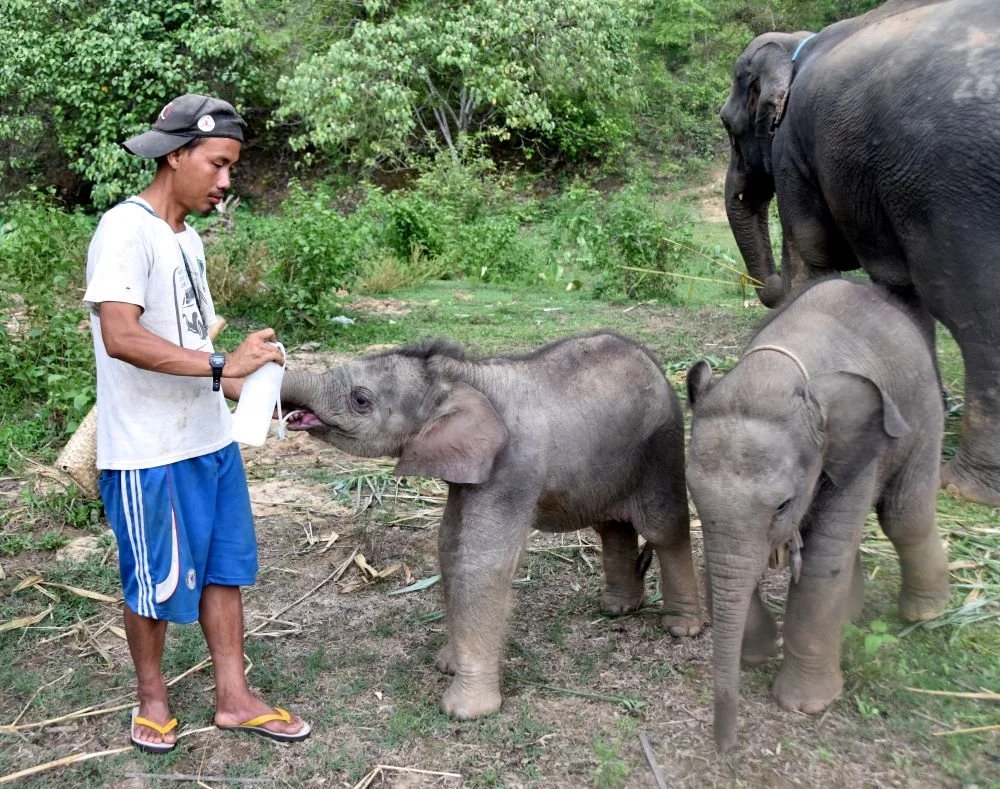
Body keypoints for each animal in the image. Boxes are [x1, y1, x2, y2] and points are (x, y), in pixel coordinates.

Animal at [280, 332, 702, 719]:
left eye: (361, 401)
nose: (286, 413)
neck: (463, 376)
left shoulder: (512, 467)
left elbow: (482, 562)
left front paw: (464, 711)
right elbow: (449, 546)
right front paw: (447, 664)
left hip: (662, 445)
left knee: (664, 526)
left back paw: (682, 627)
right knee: (612, 525)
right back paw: (617, 608)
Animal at [685, 278, 950, 752]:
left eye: (782, 504)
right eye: (692, 495)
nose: (726, 748)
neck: (779, 370)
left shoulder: (857, 447)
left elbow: (821, 562)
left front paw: (805, 705)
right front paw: (757, 655)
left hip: (924, 416)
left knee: (904, 516)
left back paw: (925, 614)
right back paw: (849, 620)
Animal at [719, 0, 1000, 506]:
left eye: (729, 127)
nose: (767, 286)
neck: (797, 43)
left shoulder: (792, 151)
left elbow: (812, 251)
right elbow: (897, 292)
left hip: (960, 191)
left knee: (975, 311)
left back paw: (965, 486)